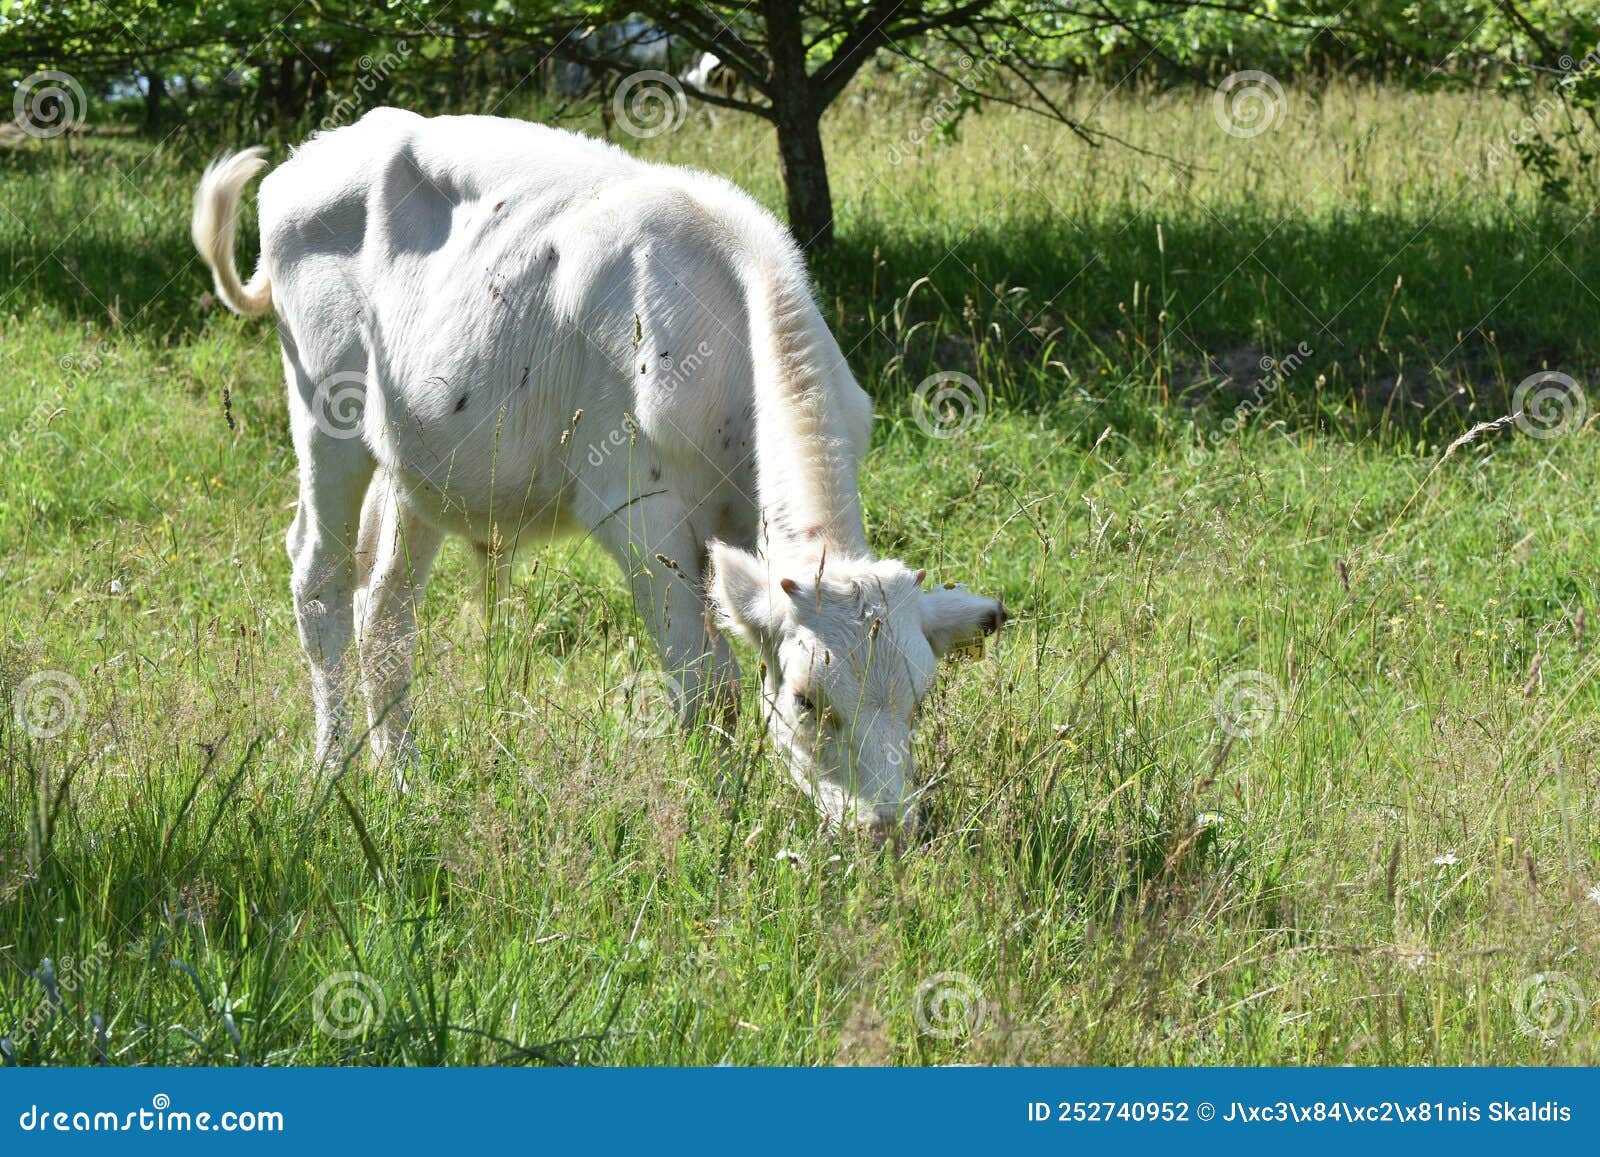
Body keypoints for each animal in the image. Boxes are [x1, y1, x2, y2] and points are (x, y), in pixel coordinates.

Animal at [191, 108, 1005, 836]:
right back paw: (333, 772)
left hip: (416, 460)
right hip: (325, 414)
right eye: (809, 700)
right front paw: (718, 819)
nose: (886, 830)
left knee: (385, 609)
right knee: (319, 578)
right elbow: (707, 688)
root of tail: (323, 148)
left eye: (920, 699)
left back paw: (403, 777)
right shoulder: (639, 513)